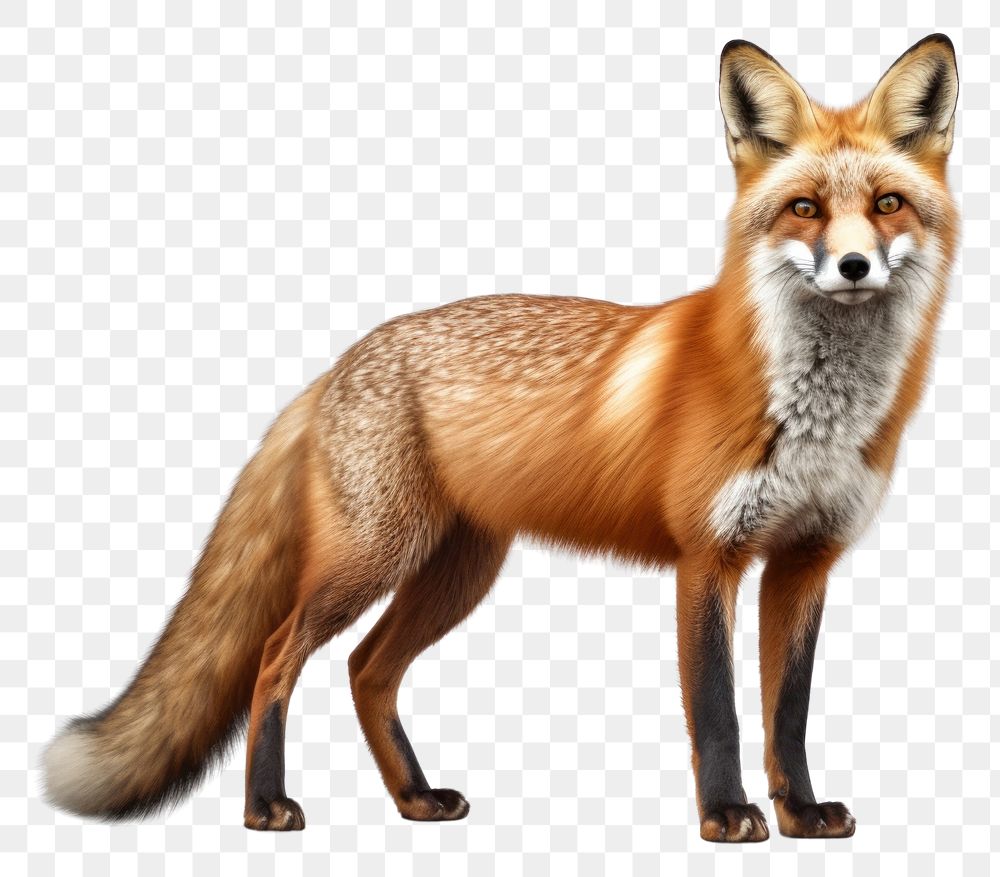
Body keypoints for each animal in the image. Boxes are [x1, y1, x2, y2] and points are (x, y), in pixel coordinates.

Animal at [43, 35, 959, 842]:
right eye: (805, 208)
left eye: (887, 204)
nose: (852, 266)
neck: (814, 418)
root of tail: (343, 360)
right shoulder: (710, 556)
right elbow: (721, 711)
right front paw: (727, 816)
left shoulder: (805, 559)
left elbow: (788, 712)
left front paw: (800, 813)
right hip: (372, 557)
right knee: (277, 656)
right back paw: (267, 804)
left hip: (457, 571)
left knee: (366, 669)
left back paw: (414, 798)